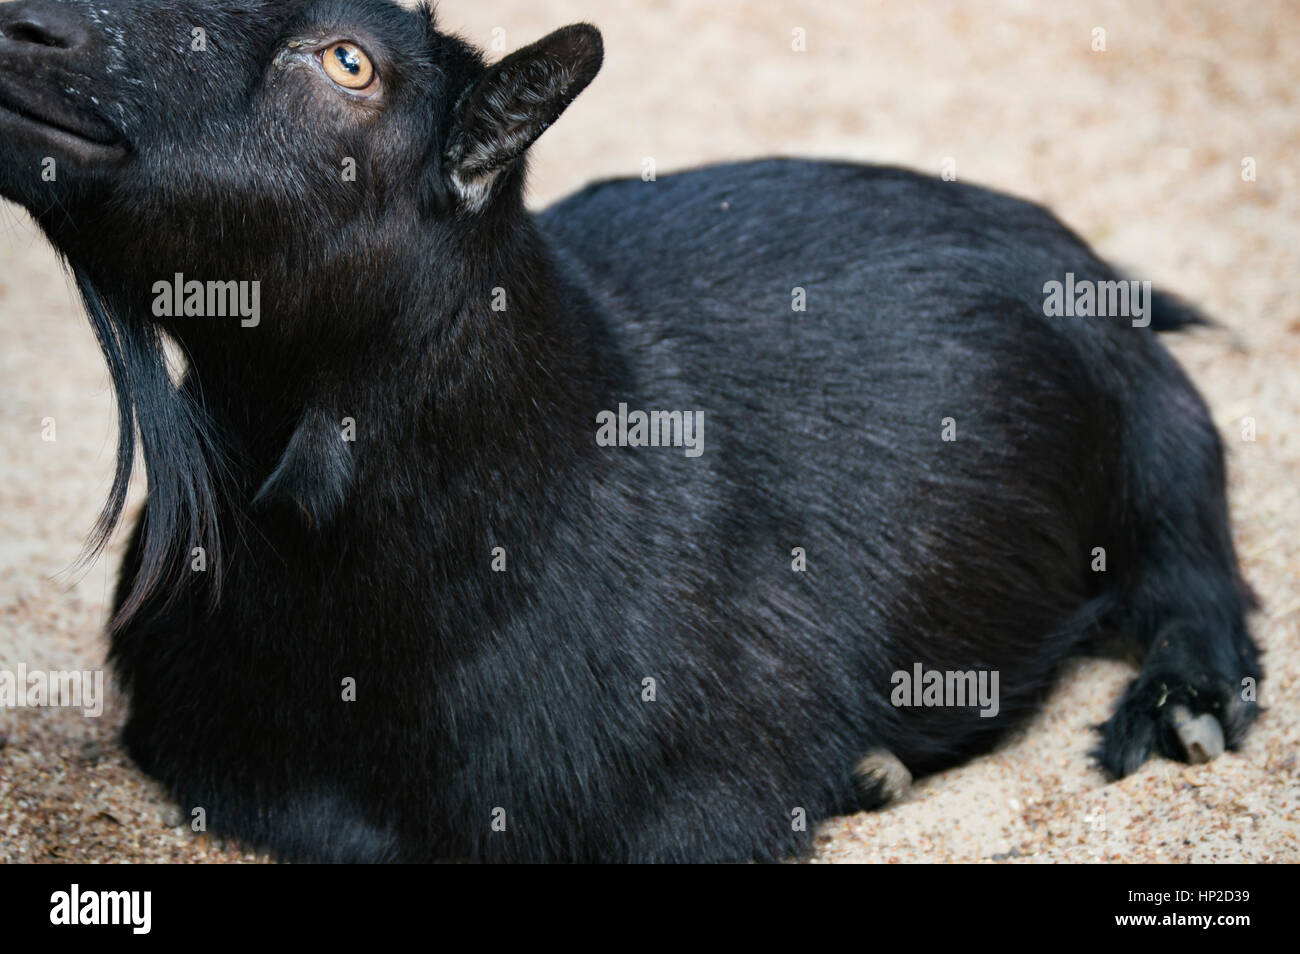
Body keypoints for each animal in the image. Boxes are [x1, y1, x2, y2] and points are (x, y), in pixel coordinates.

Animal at [0, 0, 1261, 862]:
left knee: (1194, 546)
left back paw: (1182, 706)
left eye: (349, 62)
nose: (29, 28)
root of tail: (1092, 268)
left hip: (1157, 425)